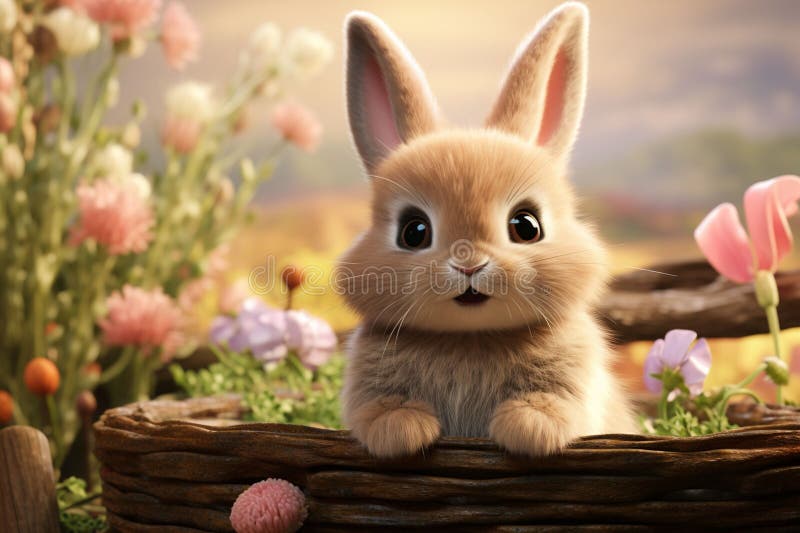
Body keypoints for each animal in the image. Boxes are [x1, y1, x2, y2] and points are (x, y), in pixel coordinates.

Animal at [337, 2, 637, 459]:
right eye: (413, 231)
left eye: (527, 225)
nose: (469, 265)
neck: (471, 337)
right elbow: (382, 406)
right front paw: (402, 429)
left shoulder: (572, 378)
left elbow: (557, 402)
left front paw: (528, 427)